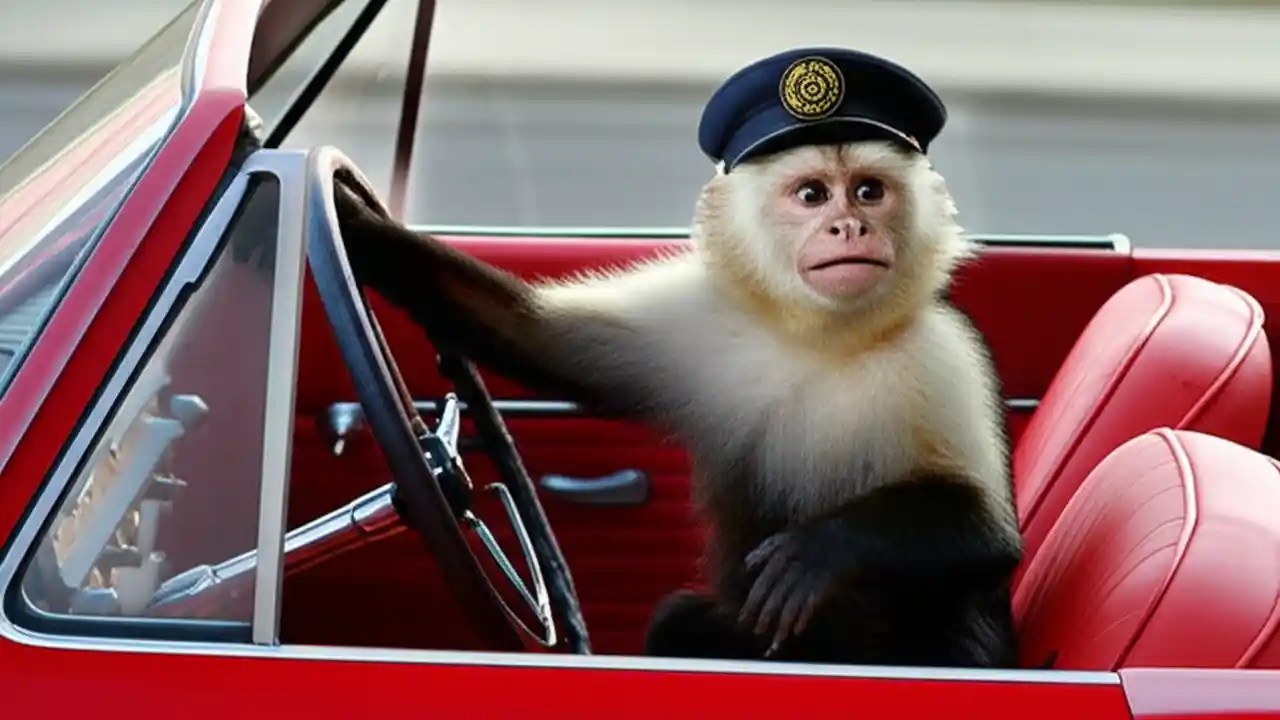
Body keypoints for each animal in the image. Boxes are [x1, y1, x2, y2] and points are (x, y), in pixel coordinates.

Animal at [329, 48, 1023, 668]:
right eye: (813, 195)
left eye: (870, 191)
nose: (850, 226)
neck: (819, 339)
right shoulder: (703, 318)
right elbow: (534, 335)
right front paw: (356, 225)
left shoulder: (940, 355)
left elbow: (989, 534)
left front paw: (822, 549)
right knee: (680, 625)